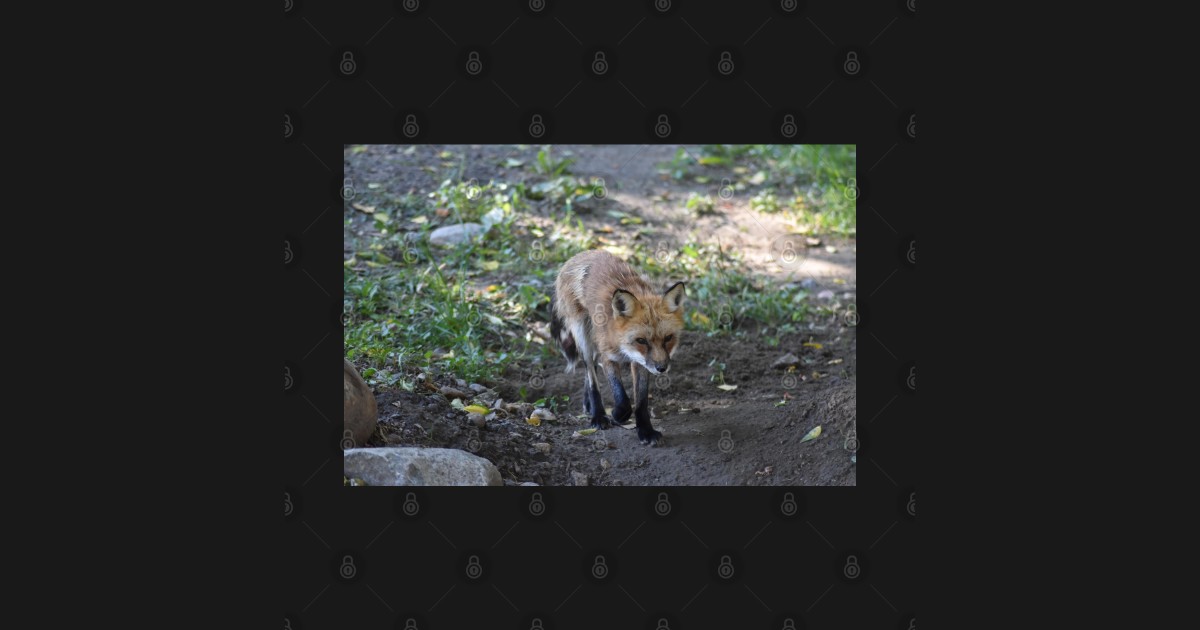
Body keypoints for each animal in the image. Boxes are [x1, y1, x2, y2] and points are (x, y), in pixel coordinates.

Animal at [549, 249, 686, 446]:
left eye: (668, 338)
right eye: (641, 340)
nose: (661, 368)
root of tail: (583, 253)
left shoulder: (640, 363)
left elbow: (641, 402)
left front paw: (645, 430)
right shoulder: (608, 357)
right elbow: (622, 397)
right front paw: (617, 415)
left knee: (589, 372)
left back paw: (588, 404)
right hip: (583, 336)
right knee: (591, 373)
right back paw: (598, 415)